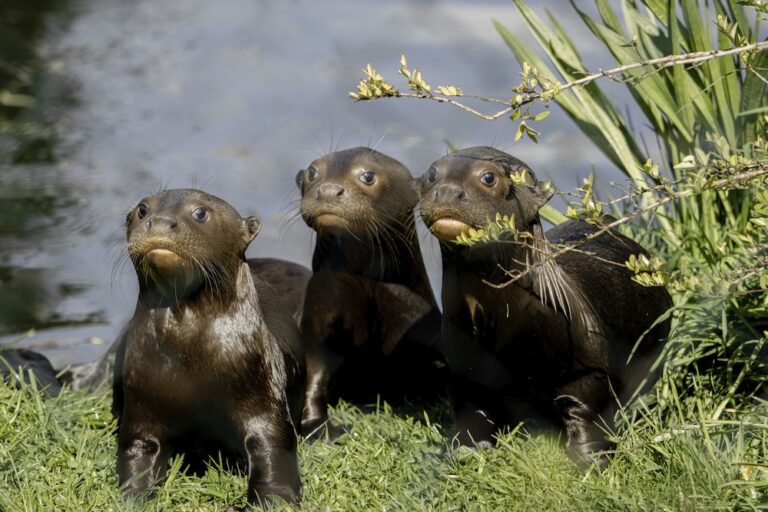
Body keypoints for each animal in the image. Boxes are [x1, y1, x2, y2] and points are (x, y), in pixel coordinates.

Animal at [114, 189, 304, 505]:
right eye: (142, 209)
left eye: (200, 213)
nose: (160, 222)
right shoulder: (141, 401)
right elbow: (138, 446)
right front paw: (133, 496)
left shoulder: (263, 391)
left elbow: (272, 442)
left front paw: (272, 497)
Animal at [295, 147, 445, 439]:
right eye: (313, 172)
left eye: (367, 176)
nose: (328, 190)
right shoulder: (319, 310)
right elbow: (315, 367)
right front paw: (318, 425)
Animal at [418, 147, 671, 466]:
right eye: (432, 174)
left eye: (488, 177)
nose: (448, 190)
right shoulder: (464, 364)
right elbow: (471, 411)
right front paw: (457, 452)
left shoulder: (586, 362)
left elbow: (586, 408)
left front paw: (591, 459)